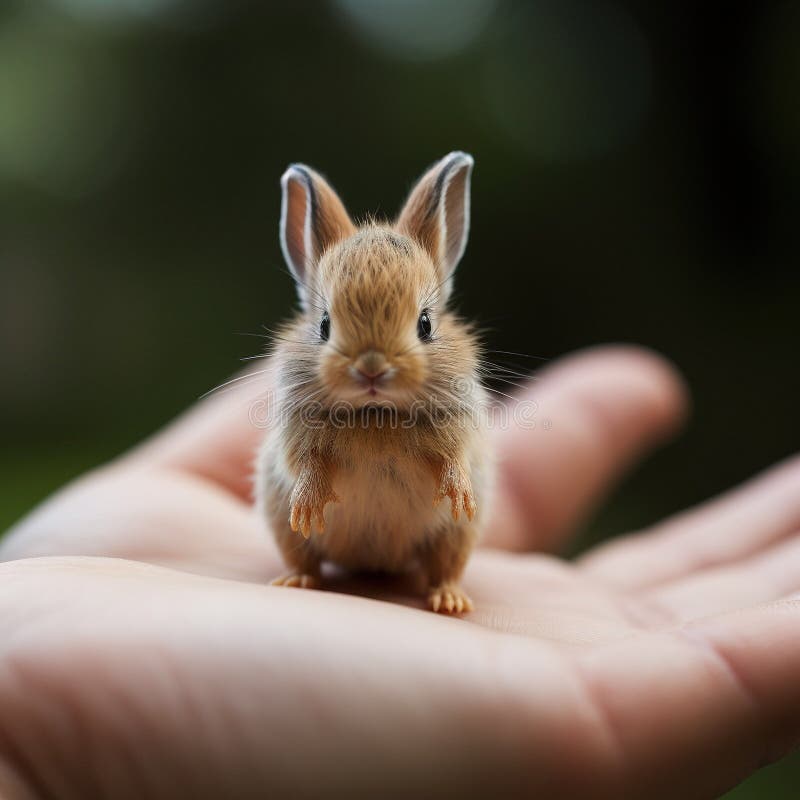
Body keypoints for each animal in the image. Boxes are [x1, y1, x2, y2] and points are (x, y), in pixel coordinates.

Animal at [256, 152, 491, 614]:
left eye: (425, 324)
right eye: (324, 325)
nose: (372, 369)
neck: (376, 413)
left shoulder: (460, 423)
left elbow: (454, 457)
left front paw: (458, 494)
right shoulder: (295, 433)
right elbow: (307, 463)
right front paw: (308, 506)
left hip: (456, 538)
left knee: (446, 568)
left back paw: (450, 600)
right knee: (303, 558)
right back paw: (297, 581)